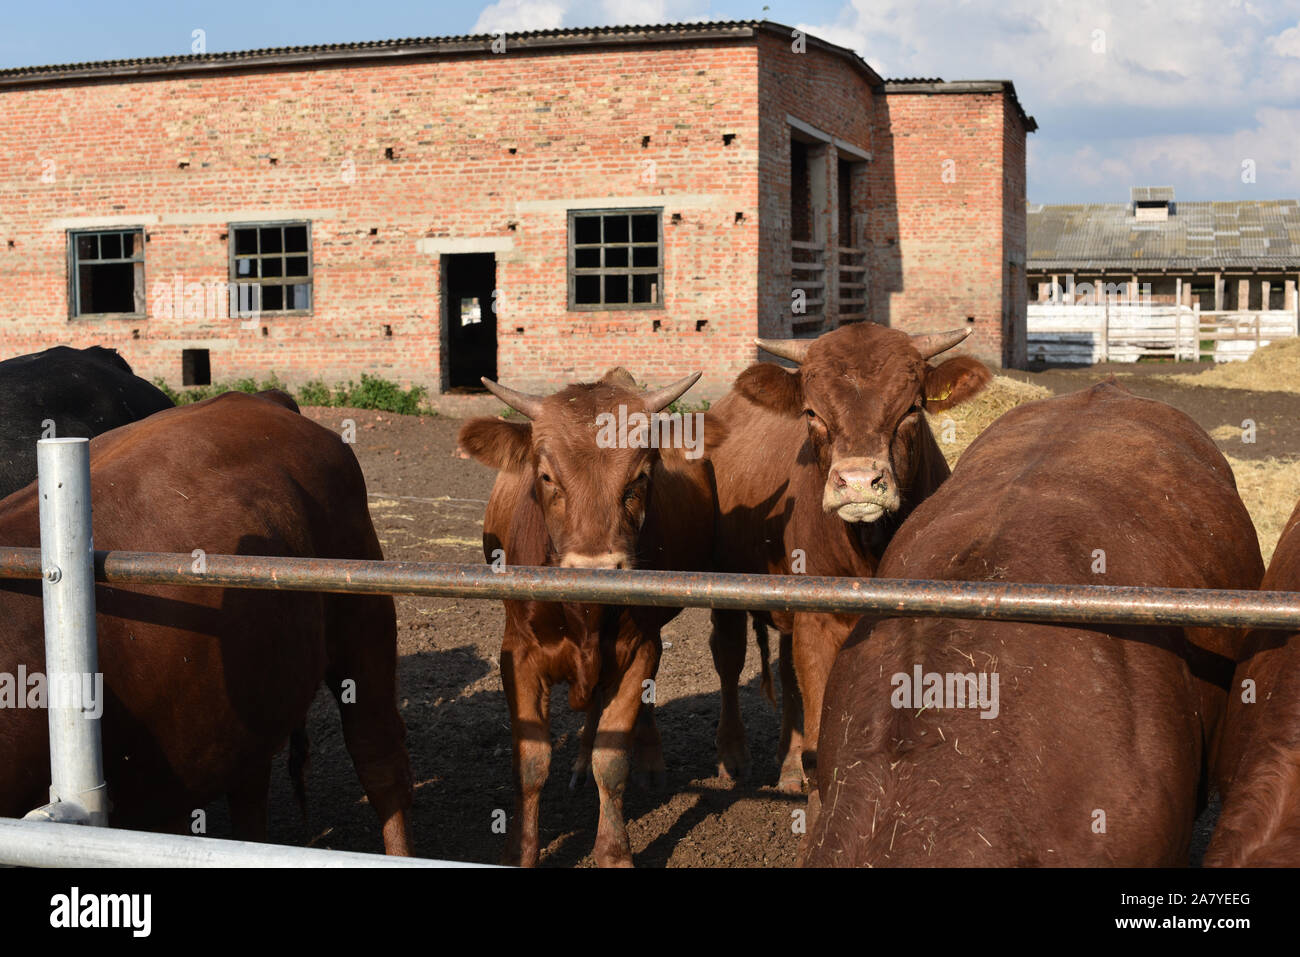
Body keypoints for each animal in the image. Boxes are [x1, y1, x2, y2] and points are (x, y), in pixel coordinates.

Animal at [457, 368, 716, 867]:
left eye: (640, 477)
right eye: (545, 476)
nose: (596, 567)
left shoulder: (638, 649)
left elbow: (611, 760)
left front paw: (613, 852)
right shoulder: (517, 654)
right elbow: (531, 762)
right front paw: (521, 850)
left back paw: (649, 761)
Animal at [705, 323, 990, 793]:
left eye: (912, 409)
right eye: (811, 413)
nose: (858, 482)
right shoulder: (817, 620)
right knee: (729, 656)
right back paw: (732, 756)